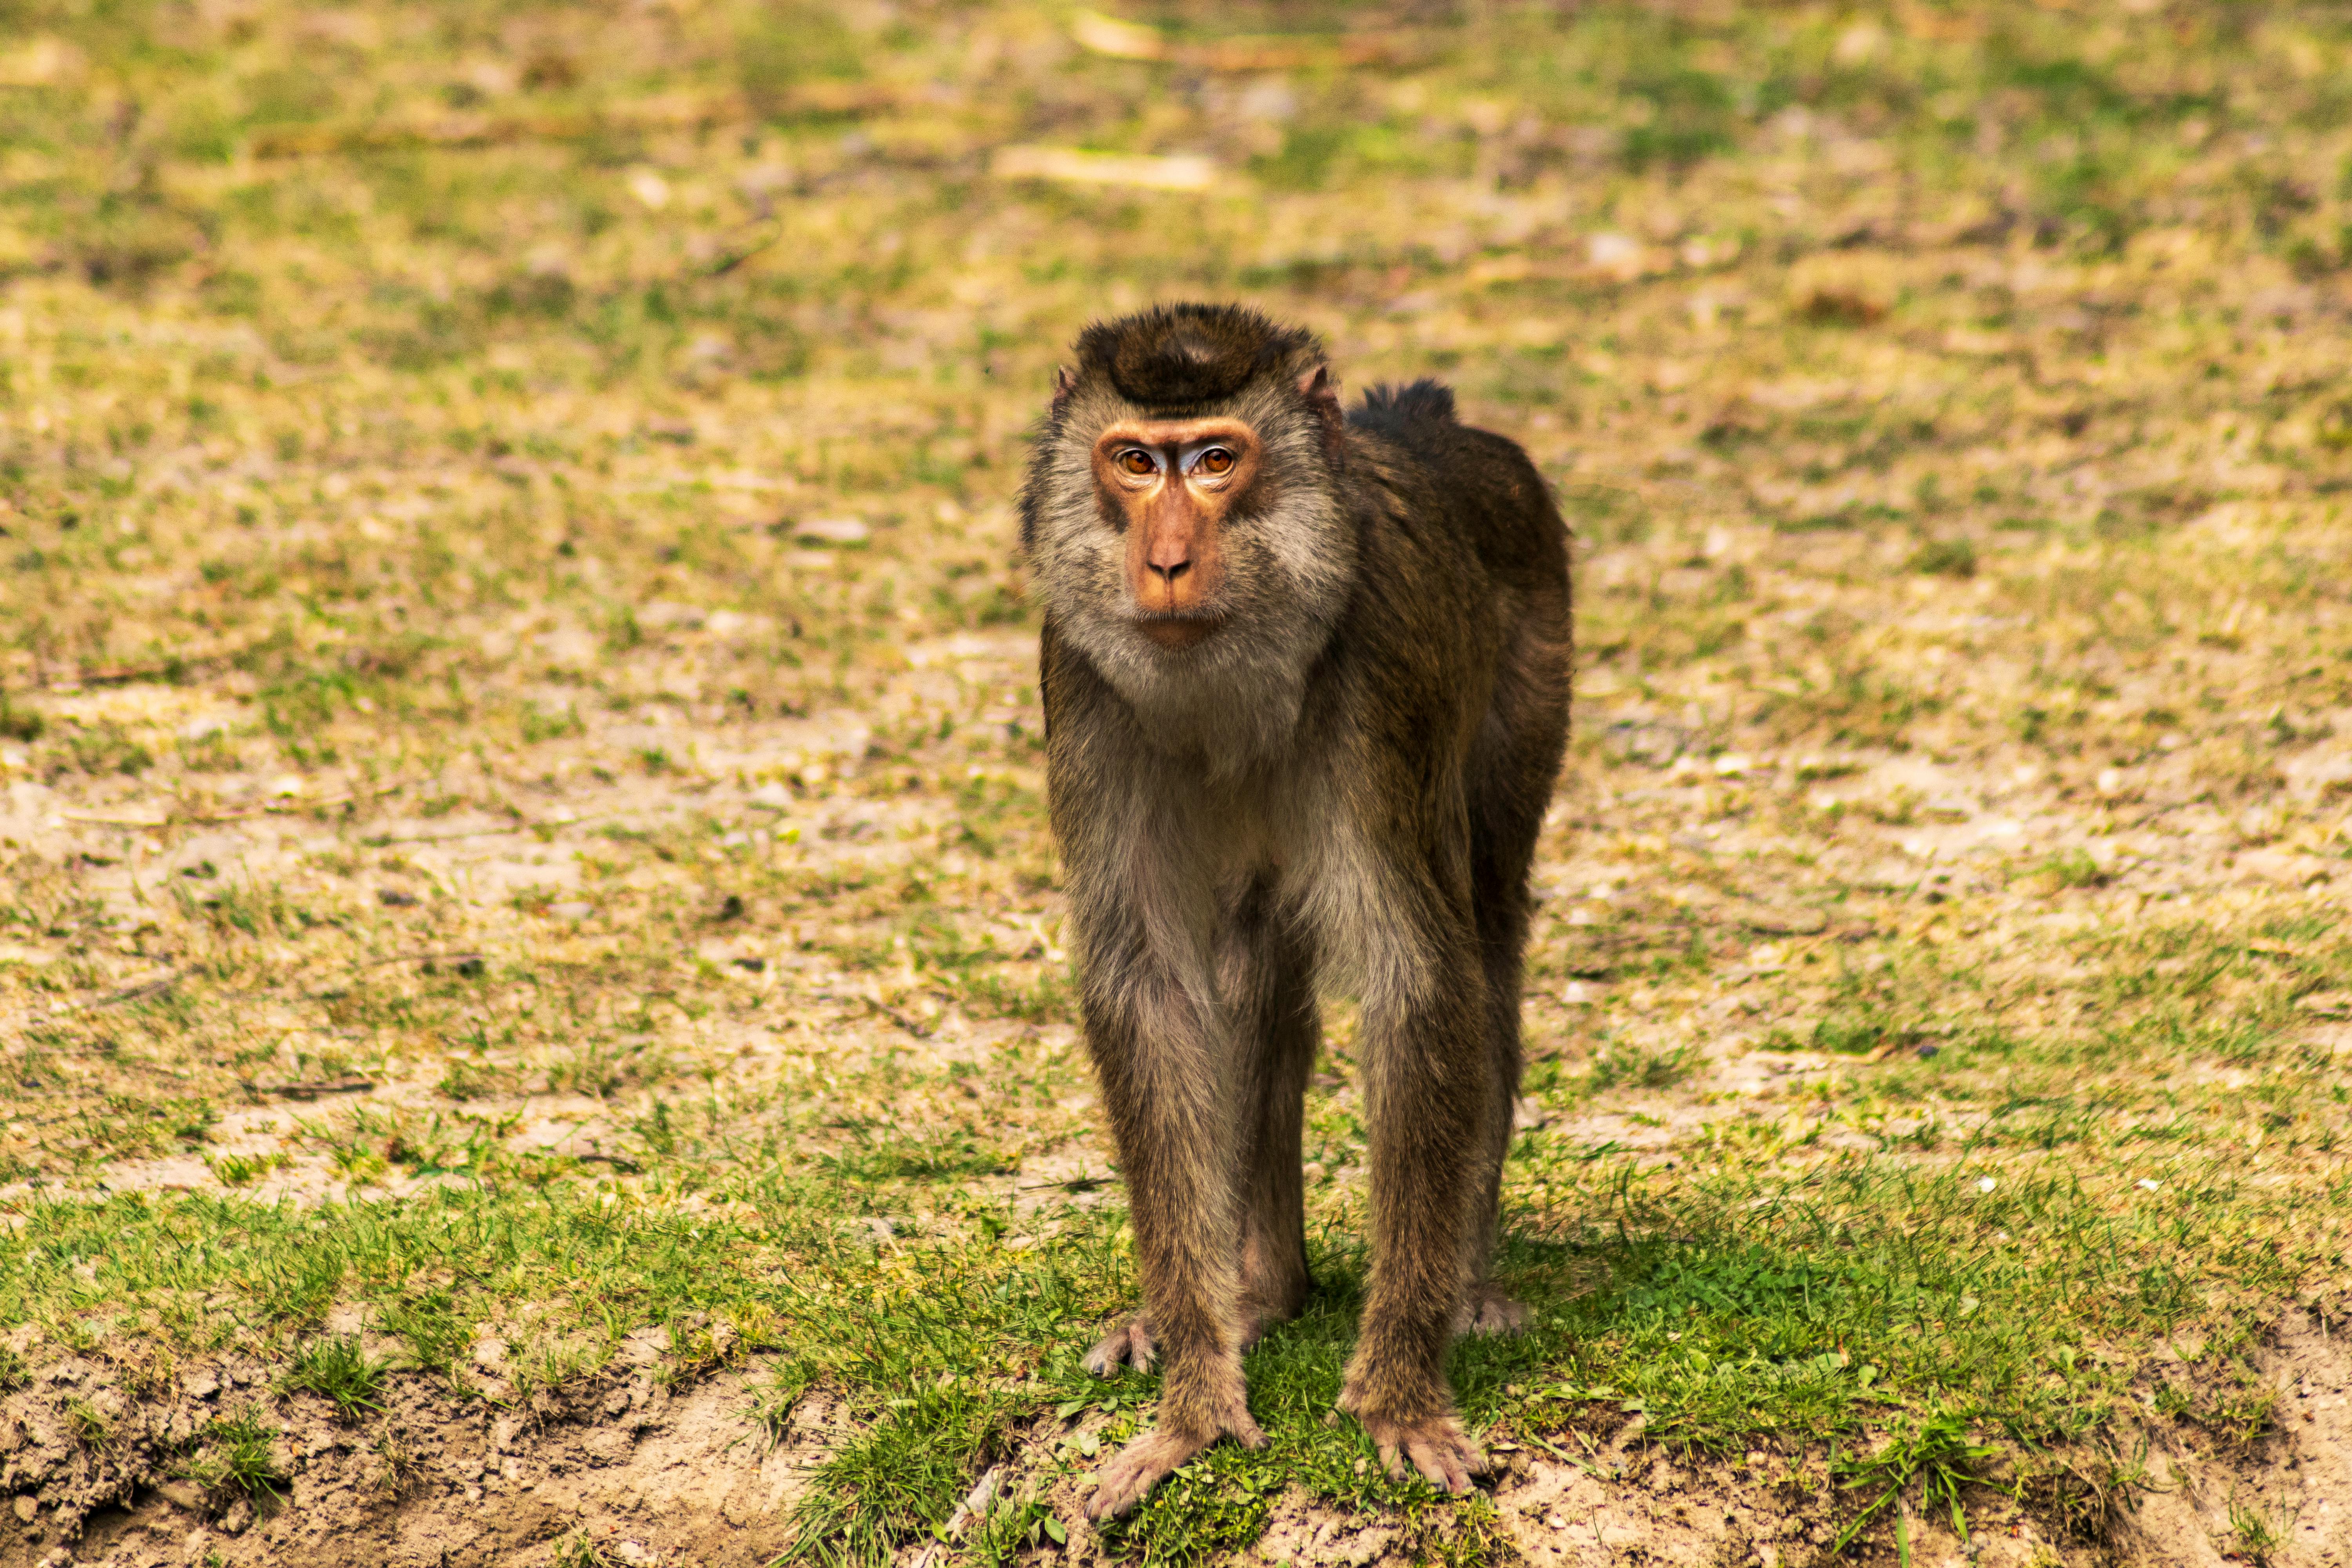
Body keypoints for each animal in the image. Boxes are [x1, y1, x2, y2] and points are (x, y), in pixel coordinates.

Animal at [1019, 303, 1572, 1519]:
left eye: (1218, 461)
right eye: (1136, 463)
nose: (1166, 561)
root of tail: (1431, 427)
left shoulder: (1383, 663)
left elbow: (1421, 981)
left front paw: (1396, 1391)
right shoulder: (1076, 670)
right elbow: (1153, 992)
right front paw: (1192, 1394)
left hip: (1532, 676)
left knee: (1487, 932)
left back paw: (1464, 1287)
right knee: (1250, 964)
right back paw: (1259, 1287)